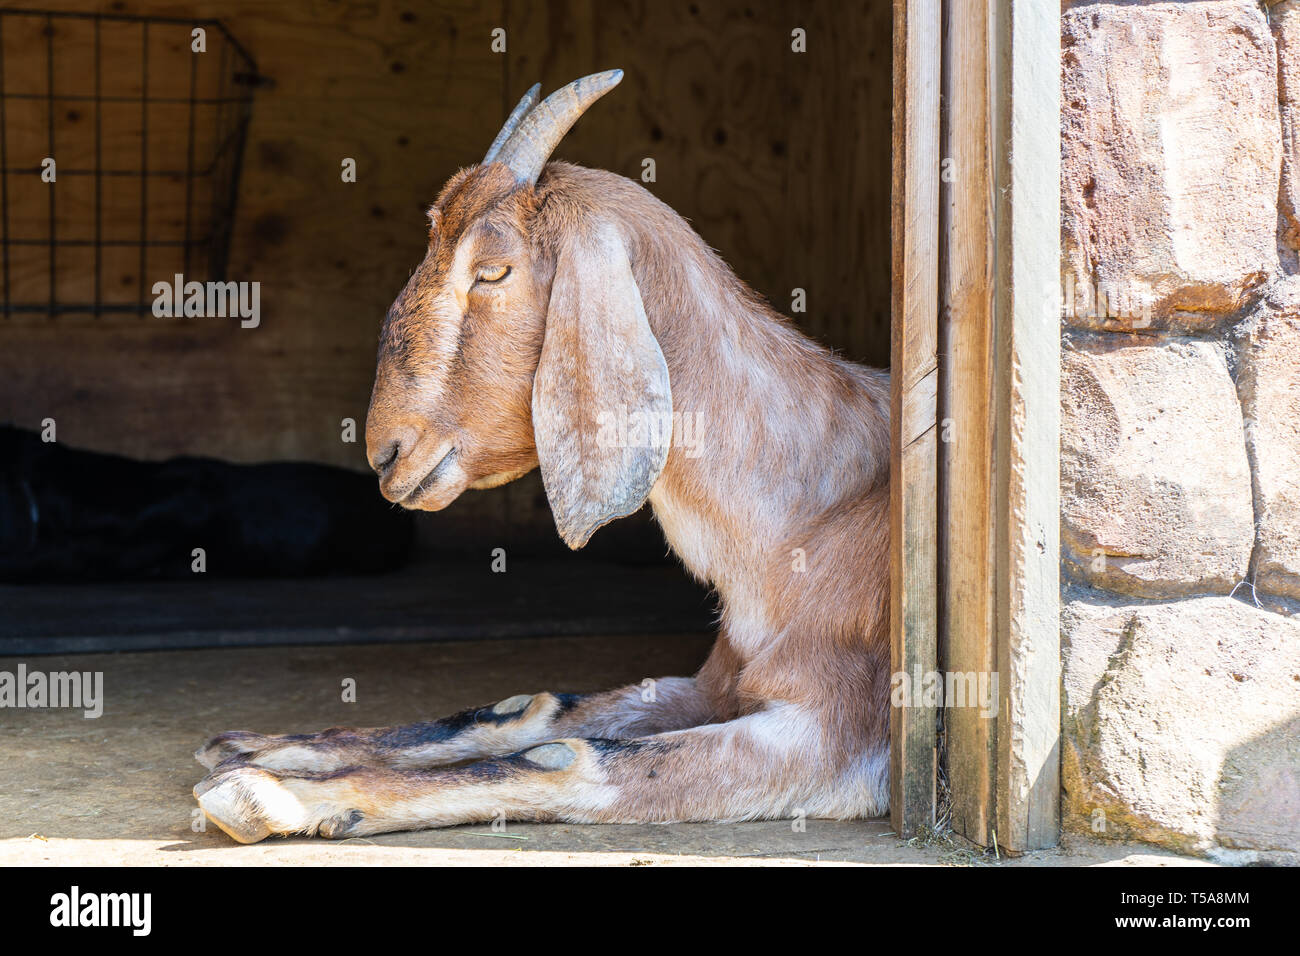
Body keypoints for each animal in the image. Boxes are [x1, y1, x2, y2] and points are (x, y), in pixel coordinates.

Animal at [193, 71, 892, 843]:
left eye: (494, 269)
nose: (388, 453)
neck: (806, 514)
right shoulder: (711, 682)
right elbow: (529, 710)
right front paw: (265, 747)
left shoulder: (826, 734)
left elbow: (571, 757)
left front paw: (272, 793)